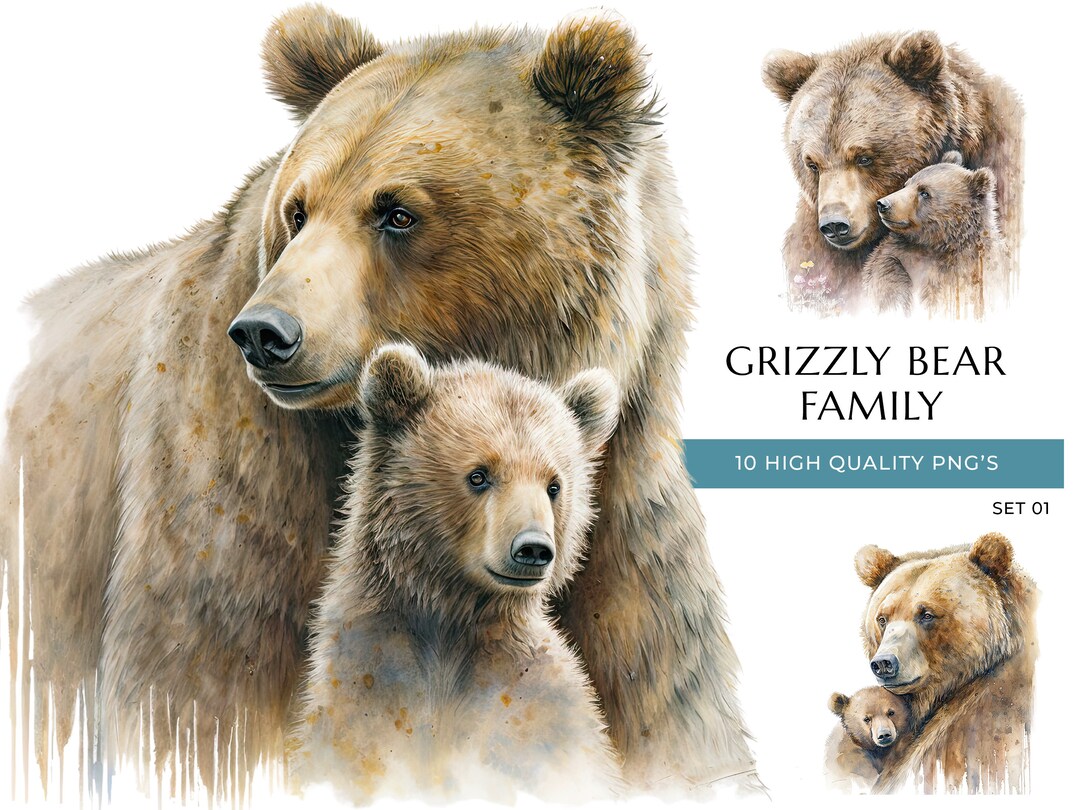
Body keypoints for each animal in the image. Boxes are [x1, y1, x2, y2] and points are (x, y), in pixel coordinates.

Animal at [288, 344, 622, 802]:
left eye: (554, 485)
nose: (533, 549)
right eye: (479, 475)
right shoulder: (366, 681)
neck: (450, 615)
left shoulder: (532, 700)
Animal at [864, 151, 1006, 318]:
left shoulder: (967, 266)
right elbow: (886, 272)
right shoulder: (897, 254)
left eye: (924, 192)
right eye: (906, 184)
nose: (883, 204)